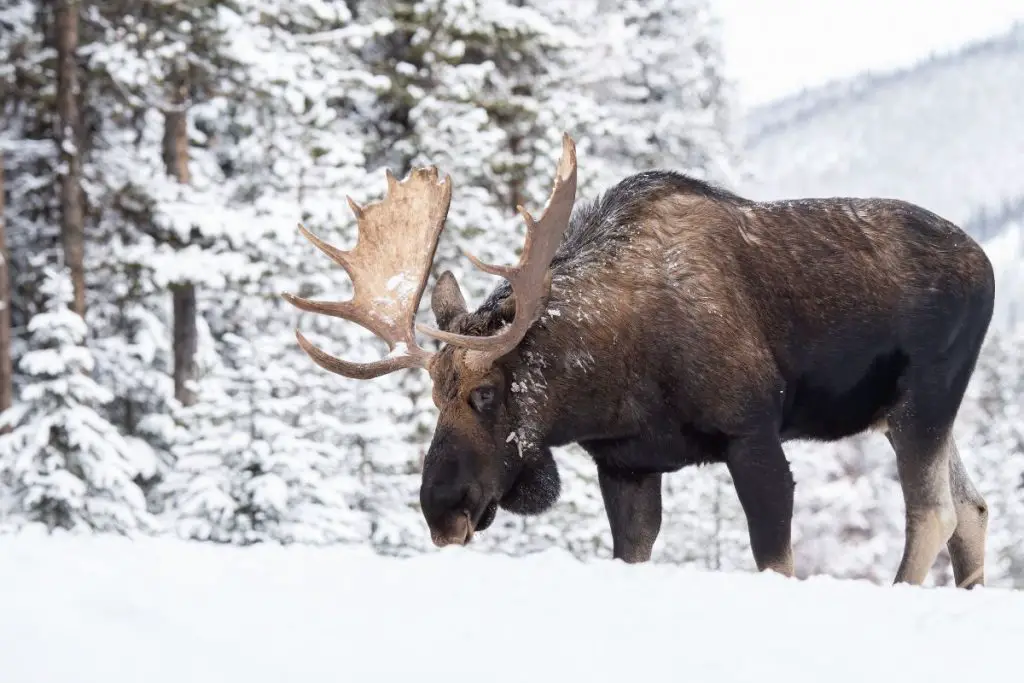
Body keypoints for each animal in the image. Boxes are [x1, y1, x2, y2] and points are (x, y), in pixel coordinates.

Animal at [283, 133, 995, 588]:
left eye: (485, 393)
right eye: (435, 396)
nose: (441, 508)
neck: (610, 382)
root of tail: (986, 264)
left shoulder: (753, 434)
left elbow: (775, 560)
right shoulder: (625, 466)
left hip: (926, 396)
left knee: (934, 513)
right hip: (906, 413)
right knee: (974, 509)